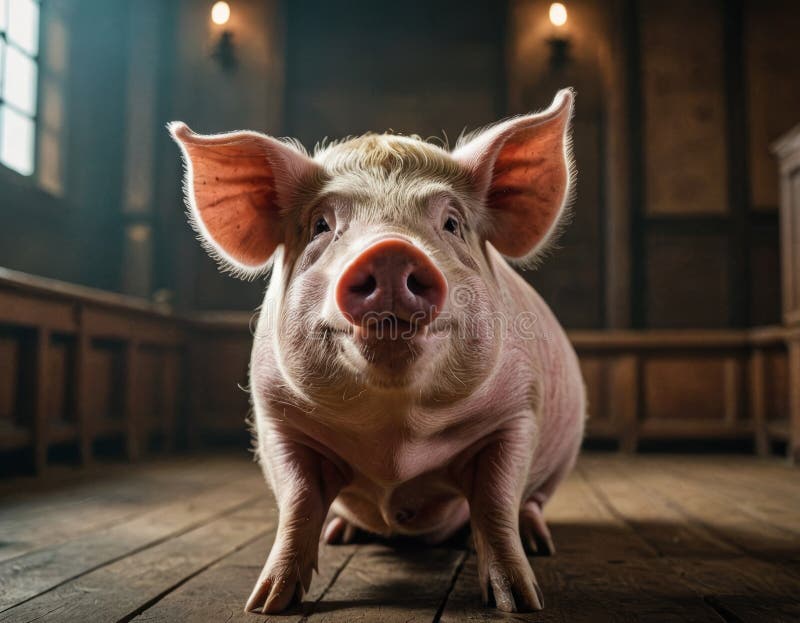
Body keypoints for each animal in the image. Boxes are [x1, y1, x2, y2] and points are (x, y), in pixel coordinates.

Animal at [168, 88, 585, 614]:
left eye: (452, 223)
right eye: (321, 224)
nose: (390, 252)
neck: (394, 442)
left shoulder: (517, 413)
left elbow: (495, 503)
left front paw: (522, 603)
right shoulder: (278, 418)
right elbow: (298, 502)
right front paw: (266, 604)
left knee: (528, 503)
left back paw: (538, 541)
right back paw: (339, 533)